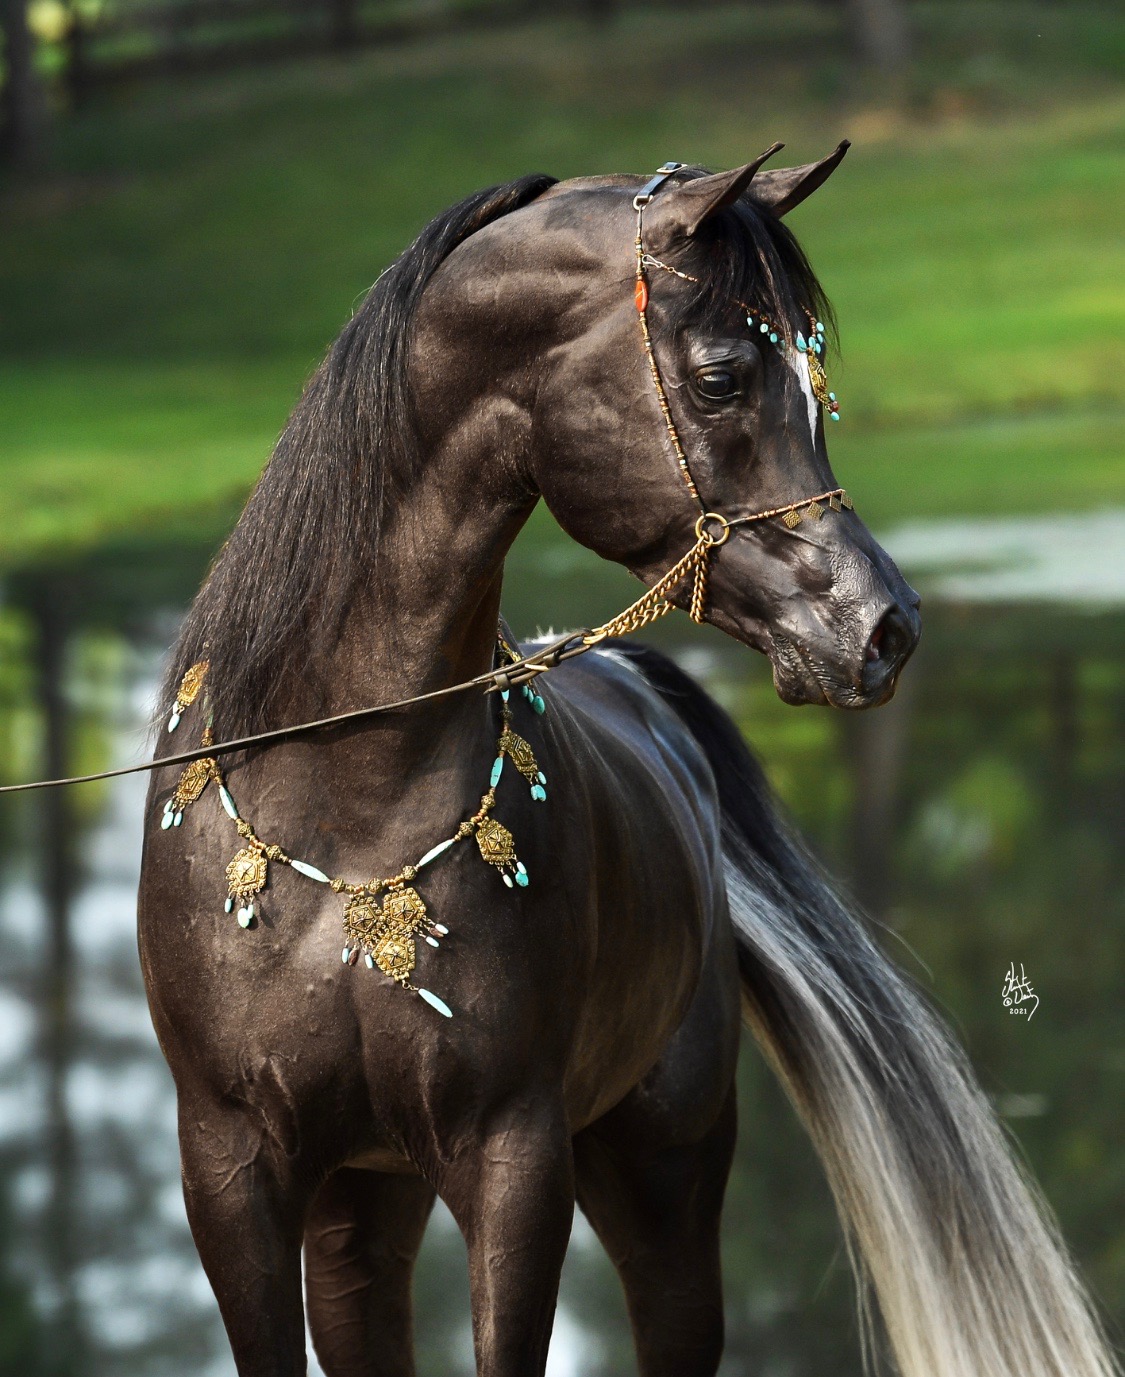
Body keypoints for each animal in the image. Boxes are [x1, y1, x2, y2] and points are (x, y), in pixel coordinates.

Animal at [138, 151, 1118, 1377]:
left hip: (663, 1173)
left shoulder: (516, 1159)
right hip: (368, 1201)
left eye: (817, 386)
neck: (344, 809)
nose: (883, 627)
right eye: (722, 378)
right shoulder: (232, 1168)